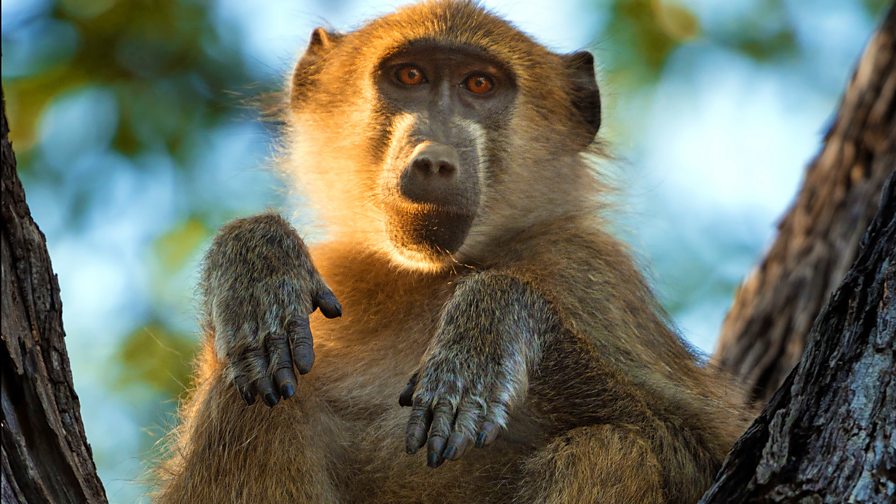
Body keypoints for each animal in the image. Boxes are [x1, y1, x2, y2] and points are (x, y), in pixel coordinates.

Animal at [154, 1, 751, 502]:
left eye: (479, 85)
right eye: (410, 77)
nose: (435, 160)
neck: (432, 274)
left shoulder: (591, 272)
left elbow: (707, 455)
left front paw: (498, 321)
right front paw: (255, 255)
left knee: (610, 450)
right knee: (258, 397)